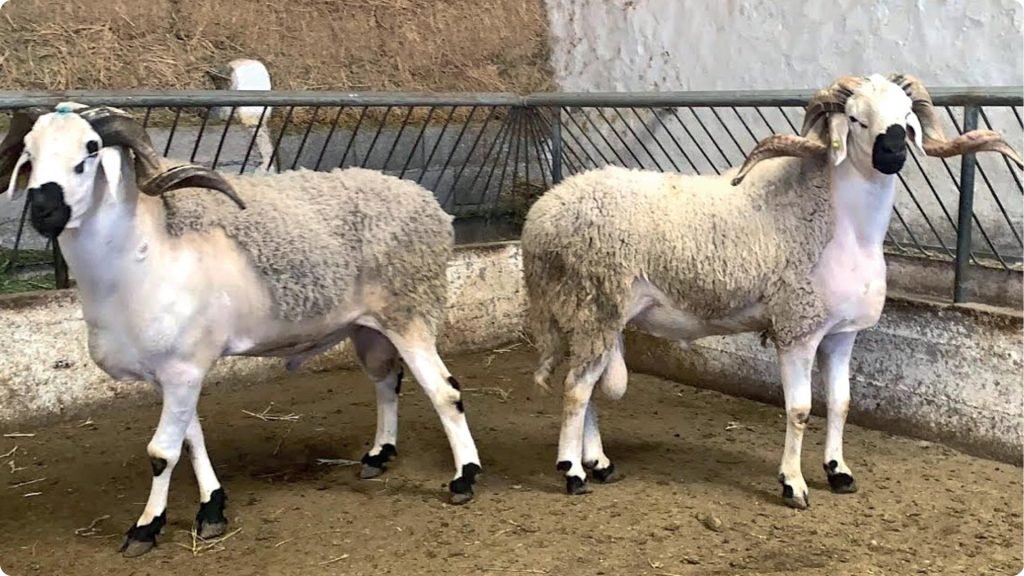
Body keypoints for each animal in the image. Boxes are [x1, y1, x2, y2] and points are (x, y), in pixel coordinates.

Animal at [0, 102, 483, 557]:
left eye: (91, 150)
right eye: (29, 153)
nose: (43, 210)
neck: (142, 249)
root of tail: (424, 199)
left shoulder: (182, 369)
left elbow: (161, 453)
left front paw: (146, 528)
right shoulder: (176, 371)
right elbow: (190, 440)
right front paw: (211, 508)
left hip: (408, 311)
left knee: (445, 392)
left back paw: (464, 478)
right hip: (368, 326)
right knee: (386, 381)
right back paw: (379, 455)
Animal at [520, 73, 1024, 508]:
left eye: (907, 117)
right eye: (856, 118)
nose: (892, 152)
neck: (838, 222)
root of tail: (542, 213)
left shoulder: (842, 334)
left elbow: (841, 404)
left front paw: (839, 472)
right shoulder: (797, 327)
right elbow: (800, 409)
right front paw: (793, 484)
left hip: (597, 317)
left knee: (586, 388)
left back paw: (599, 463)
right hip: (592, 305)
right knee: (575, 390)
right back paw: (573, 473)